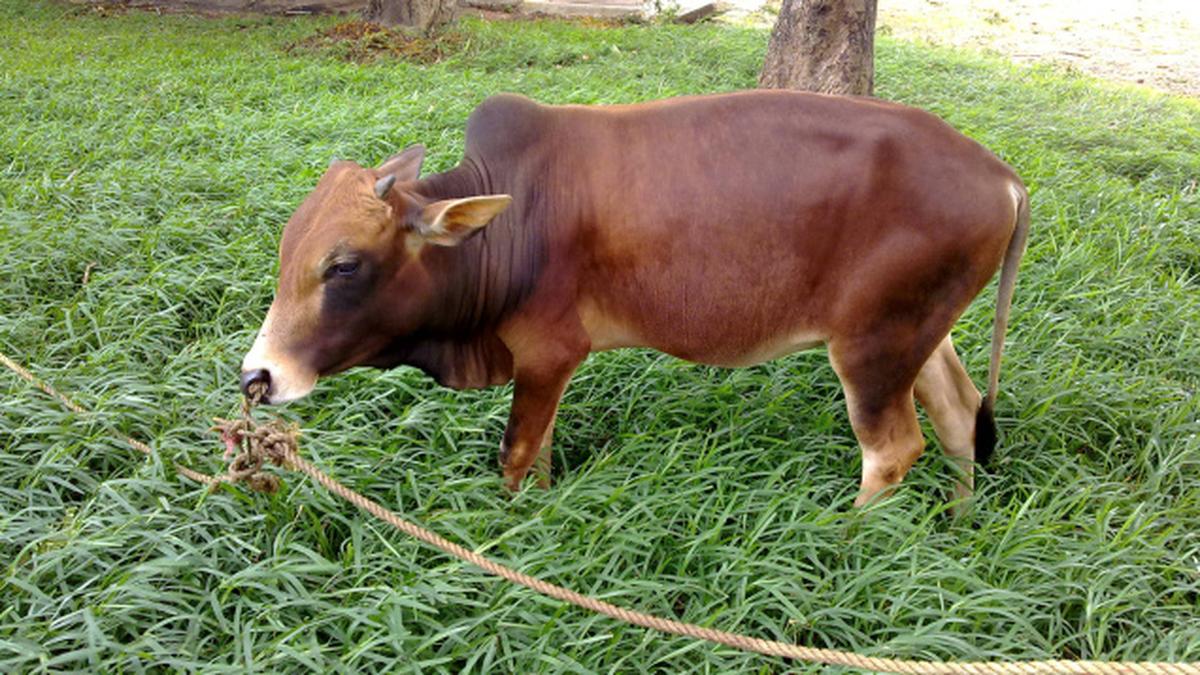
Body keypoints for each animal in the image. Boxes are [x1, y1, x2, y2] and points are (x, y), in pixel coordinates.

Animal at [240, 91, 1029, 507]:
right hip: (919, 331)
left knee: (894, 447)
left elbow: (516, 454)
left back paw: (847, 538)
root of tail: (1001, 175)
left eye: (342, 266)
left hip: (871, 346)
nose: (259, 376)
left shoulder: (549, 349)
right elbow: (543, 449)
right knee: (959, 414)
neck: (508, 224)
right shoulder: (546, 364)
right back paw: (956, 522)